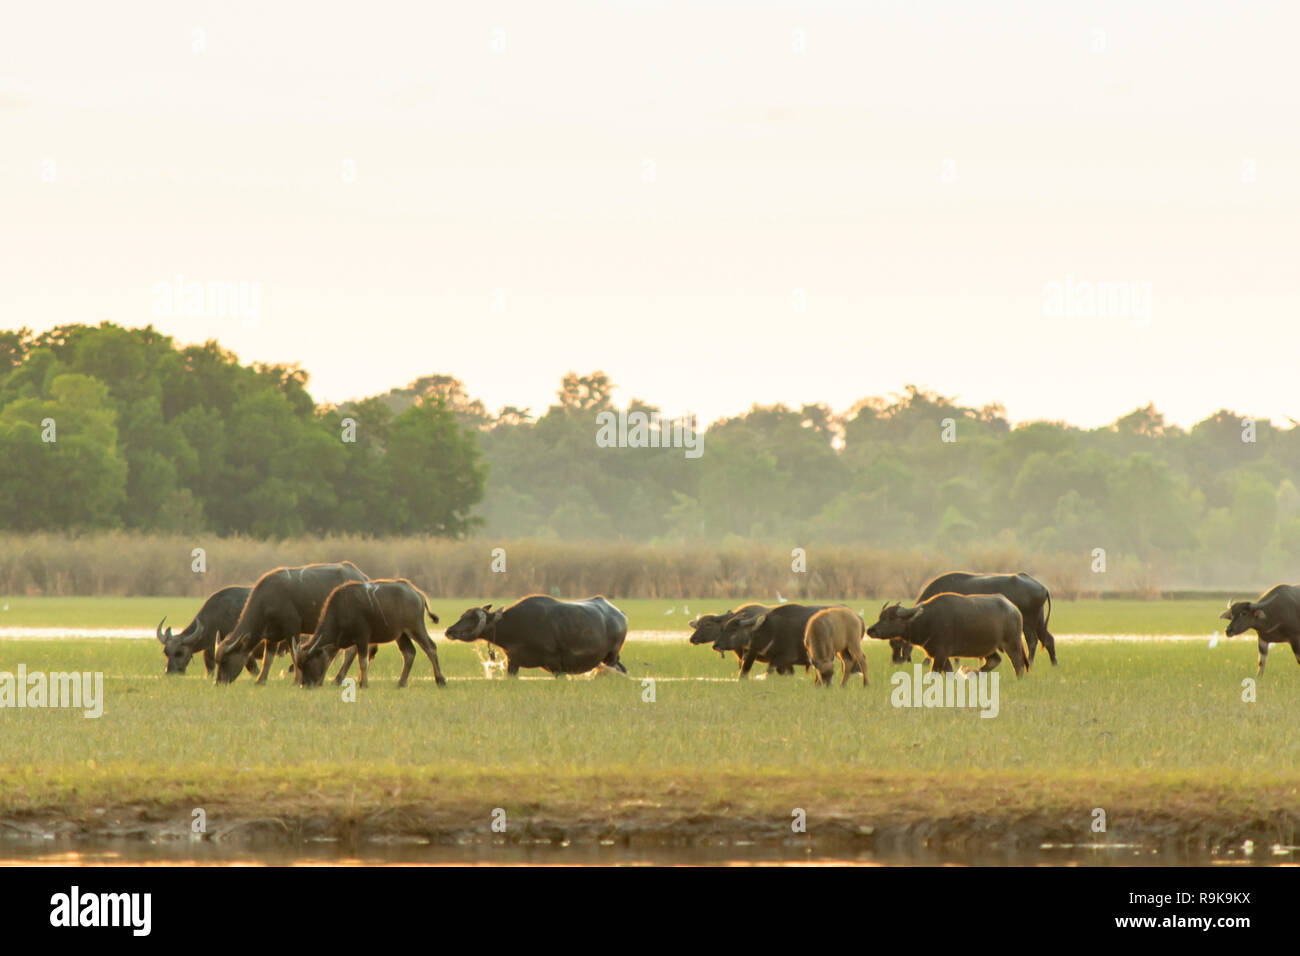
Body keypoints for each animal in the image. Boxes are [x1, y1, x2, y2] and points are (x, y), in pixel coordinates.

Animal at [213, 562, 369, 684]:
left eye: (225, 660)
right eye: (217, 661)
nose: (218, 682)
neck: (266, 601)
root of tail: (362, 577)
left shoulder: (292, 628)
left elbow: (294, 656)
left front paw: (297, 680)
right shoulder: (271, 635)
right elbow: (267, 659)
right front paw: (260, 680)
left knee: (350, 652)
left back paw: (339, 679)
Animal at [293, 579, 446, 688]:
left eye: (308, 662)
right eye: (299, 665)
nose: (304, 684)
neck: (341, 610)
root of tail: (418, 594)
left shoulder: (362, 638)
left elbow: (362, 661)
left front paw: (363, 683)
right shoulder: (343, 642)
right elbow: (335, 658)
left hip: (415, 628)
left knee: (430, 648)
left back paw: (440, 680)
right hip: (401, 635)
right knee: (409, 653)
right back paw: (401, 683)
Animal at [443, 595, 627, 677]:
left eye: (472, 618)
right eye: (462, 615)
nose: (449, 631)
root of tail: (620, 614)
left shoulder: (556, 666)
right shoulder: (513, 662)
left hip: (611, 657)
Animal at [868, 593, 1029, 676]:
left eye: (891, 618)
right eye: (880, 616)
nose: (870, 630)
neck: (927, 620)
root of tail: (1014, 609)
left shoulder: (940, 654)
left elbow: (934, 673)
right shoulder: (941, 655)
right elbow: (949, 673)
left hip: (1012, 643)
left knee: (1018, 665)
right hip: (988, 647)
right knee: (994, 660)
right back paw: (973, 673)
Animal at [890, 571, 1057, 666]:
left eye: (898, 644)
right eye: (891, 644)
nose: (895, 662)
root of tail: (1042, 587)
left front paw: (927, 662)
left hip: (1028, 622)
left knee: (1032, 641)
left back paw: (1032, 663)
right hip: (1039, 621)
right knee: (1048, 639)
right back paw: (1054, 663)